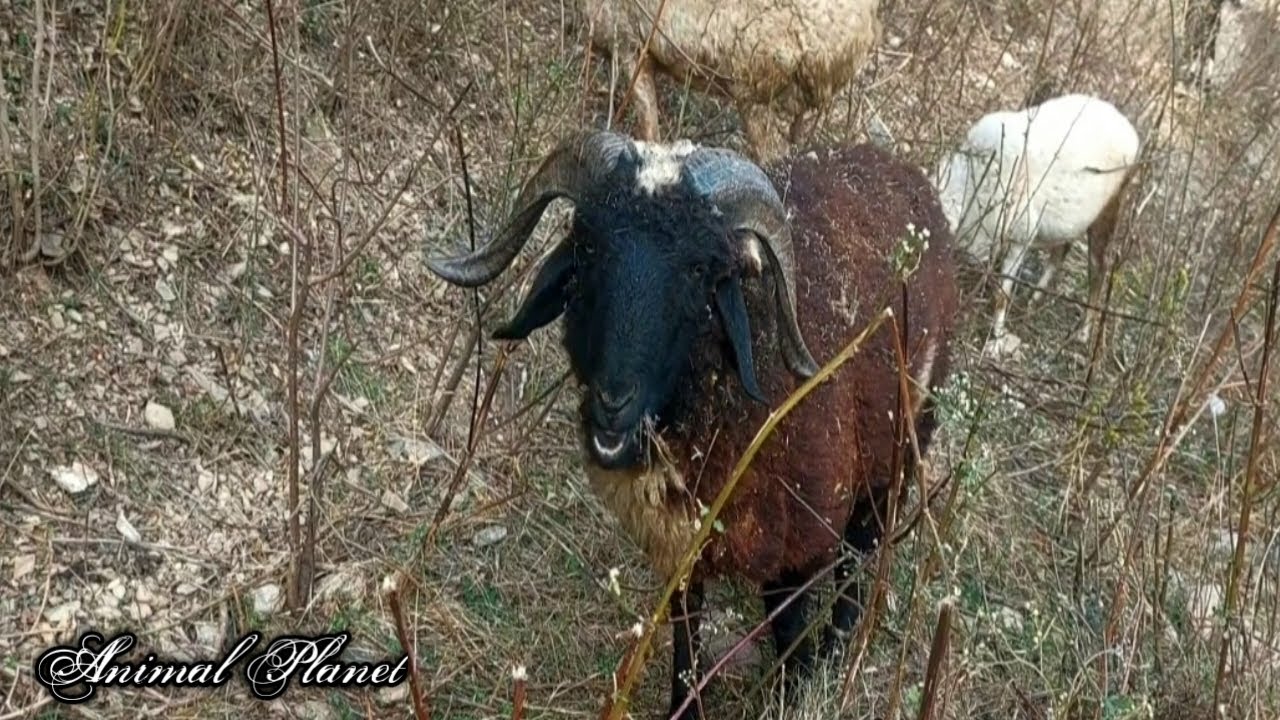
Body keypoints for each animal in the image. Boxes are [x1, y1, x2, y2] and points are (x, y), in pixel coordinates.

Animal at [425, 130, 958, 719]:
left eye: (700, 270)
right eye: (587, 248)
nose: (613, 401)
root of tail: (900, 169)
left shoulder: (799, 550)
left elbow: (792, 642)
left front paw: (800, 693)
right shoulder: (681, 550)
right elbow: (686, 646)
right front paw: (686, 706)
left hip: (900, 450)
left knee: (859, 562)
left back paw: (840, 653)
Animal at [932, 92, 1140, 356]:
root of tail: (1131, 132)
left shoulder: (1020, 236)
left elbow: (1002, 292)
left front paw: (996, 337)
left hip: (1109, 209)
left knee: (1099, 268)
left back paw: (1083, 332)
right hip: (1067, 221)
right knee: (1062, 250)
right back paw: (1033, 299)